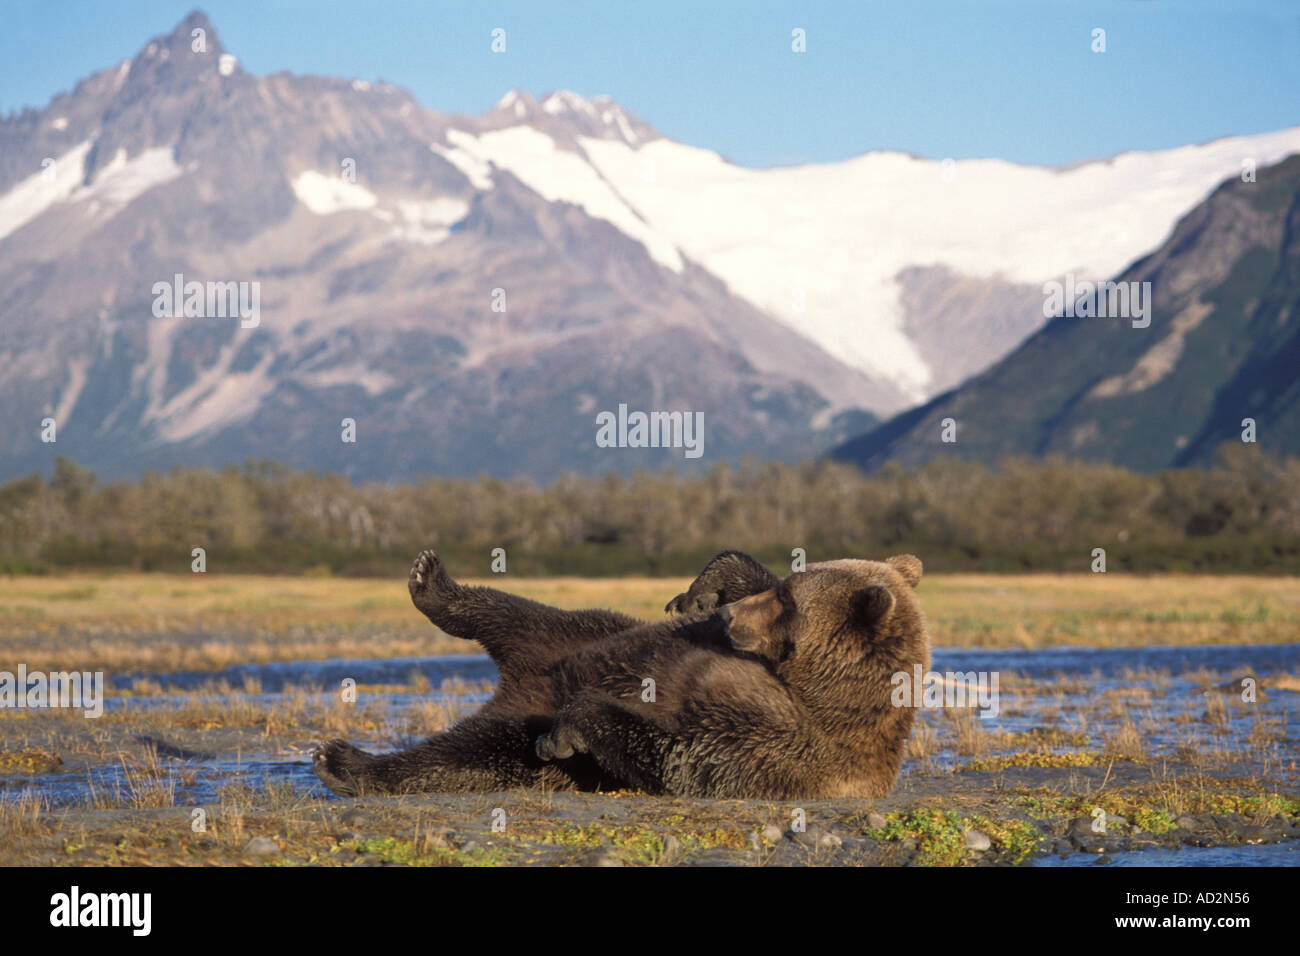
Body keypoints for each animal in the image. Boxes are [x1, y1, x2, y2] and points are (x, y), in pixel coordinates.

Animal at [312, 548, 930, 800]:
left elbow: (682, 754)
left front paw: (567, 728)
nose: (730, 616)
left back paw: (343, 762)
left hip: (529, 723)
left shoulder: (786, 747)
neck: (809, 685)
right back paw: (430, 582)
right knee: (526, 615)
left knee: (473, 753)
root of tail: (517, 684)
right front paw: (700, 589)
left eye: (788, 602)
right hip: (579, 640)